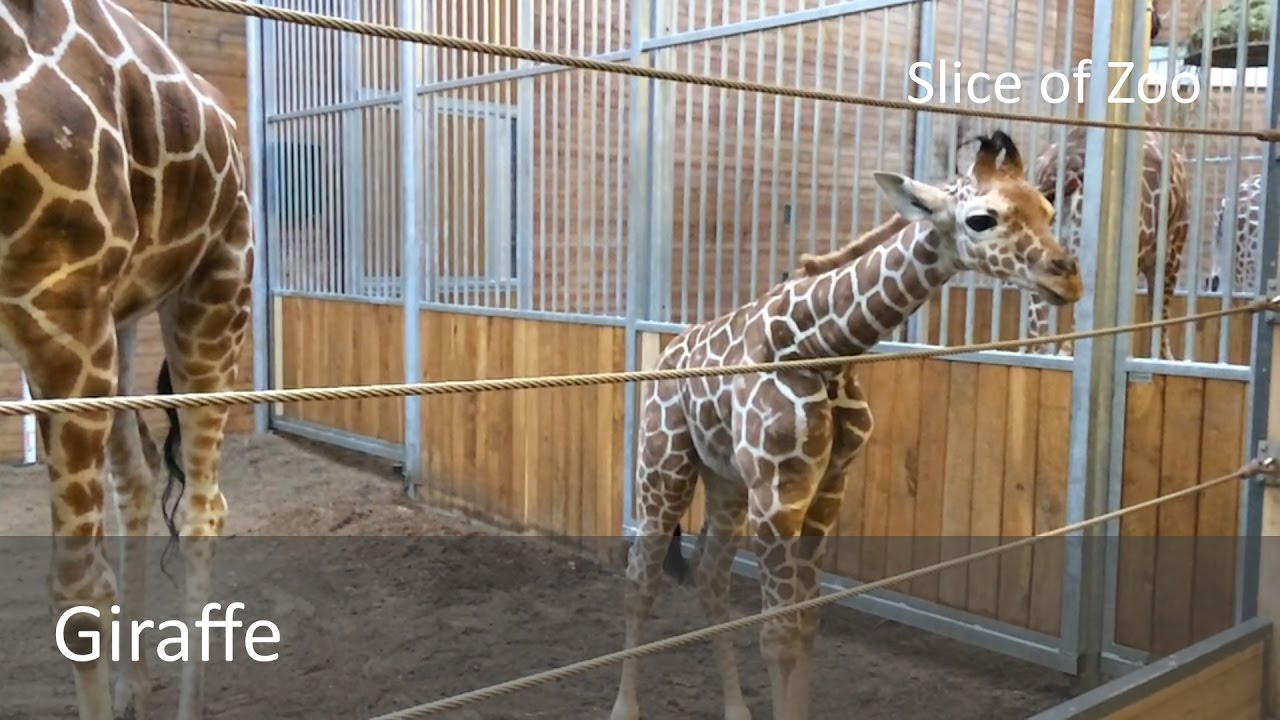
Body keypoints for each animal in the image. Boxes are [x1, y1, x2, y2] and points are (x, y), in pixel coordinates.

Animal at [0, 2, 253, 720]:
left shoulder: (60, 299)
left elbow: (79, 595)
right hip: (117, 319)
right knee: (137, 479)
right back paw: (132, 687)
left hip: (215, 288)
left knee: (202, 510)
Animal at [609, 131, 1083, 720]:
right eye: (981, 219)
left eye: (1048, 210)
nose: (1067, 277)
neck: (824, 351)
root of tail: (669, 351)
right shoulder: (777, 498)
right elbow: (779, 637)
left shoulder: (826, 491)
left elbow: (807, 625)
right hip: (664, 465)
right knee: (640, 578)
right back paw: (623, 708)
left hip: (725, 481)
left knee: (710, 577)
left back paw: (736, 709)